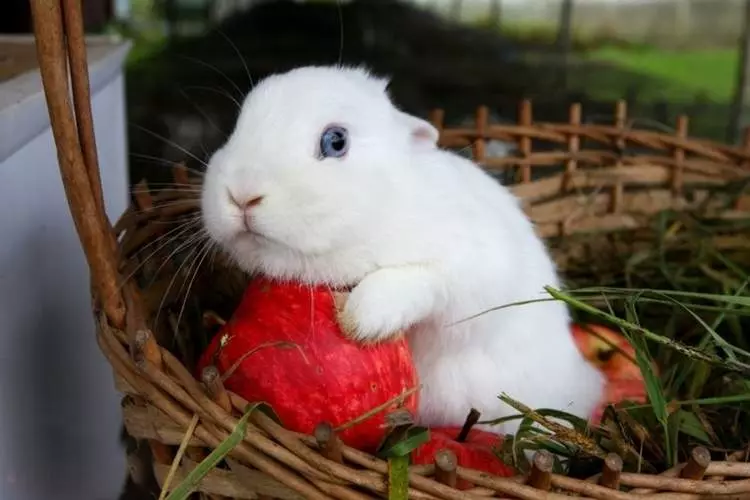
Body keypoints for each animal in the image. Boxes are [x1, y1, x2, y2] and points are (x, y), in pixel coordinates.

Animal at [200, 64, 604, 436]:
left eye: (335, 141)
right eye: (237, 126)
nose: (241, 195)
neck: (381, 205)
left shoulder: (473, 269)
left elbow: (423, 281)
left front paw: (360, 320)